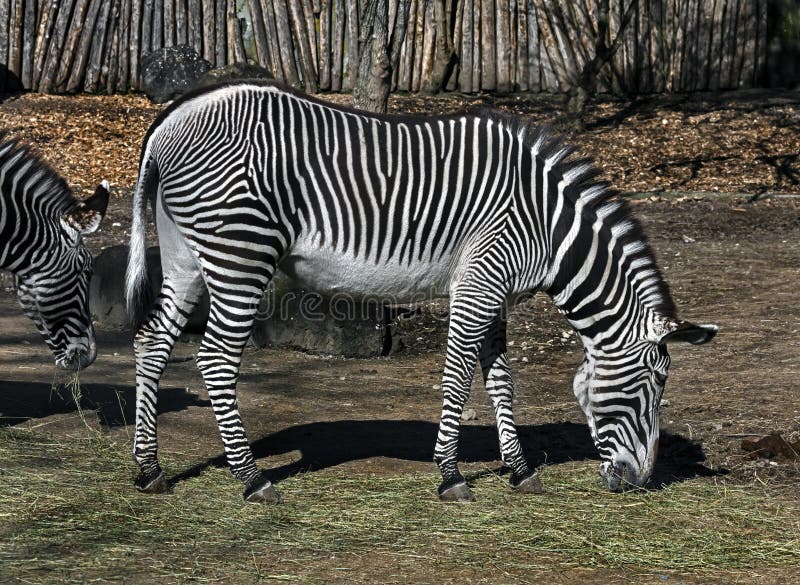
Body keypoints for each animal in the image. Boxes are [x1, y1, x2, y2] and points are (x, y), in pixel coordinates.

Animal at [126, 80, 717, 503]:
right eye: (655, 382)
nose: (640, 482)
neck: (550, 228)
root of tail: (170, 118)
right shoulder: (479, 283)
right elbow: (458, 379)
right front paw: (451, 475)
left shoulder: (496, 293)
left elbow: (500, 381)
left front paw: (520, 470)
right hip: (240, 253)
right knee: (214, 360)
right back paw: (251, 479)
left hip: (185, 255)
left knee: (152, 343)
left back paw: (149, 469)